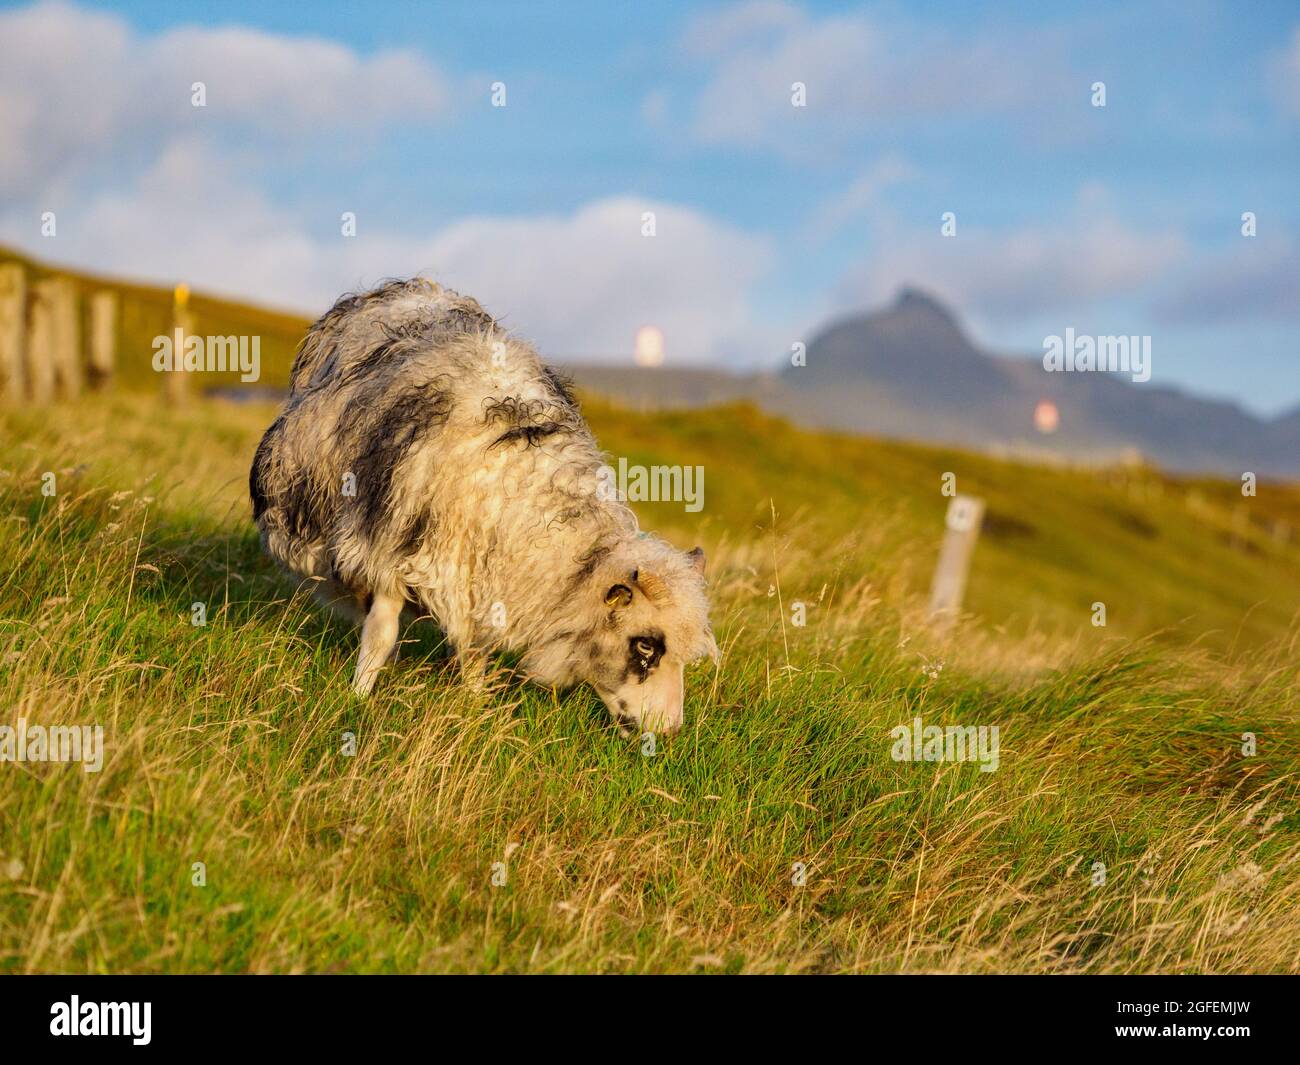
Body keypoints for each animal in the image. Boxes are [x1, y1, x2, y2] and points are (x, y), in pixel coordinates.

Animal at [249, 278, 718, 737]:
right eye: (645, 644)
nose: (668, 731)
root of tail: (416, 288)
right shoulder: (389, 547)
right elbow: (380, 632)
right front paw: (359, 695)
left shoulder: (482, 577)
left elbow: (475, 652)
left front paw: (475, 703)